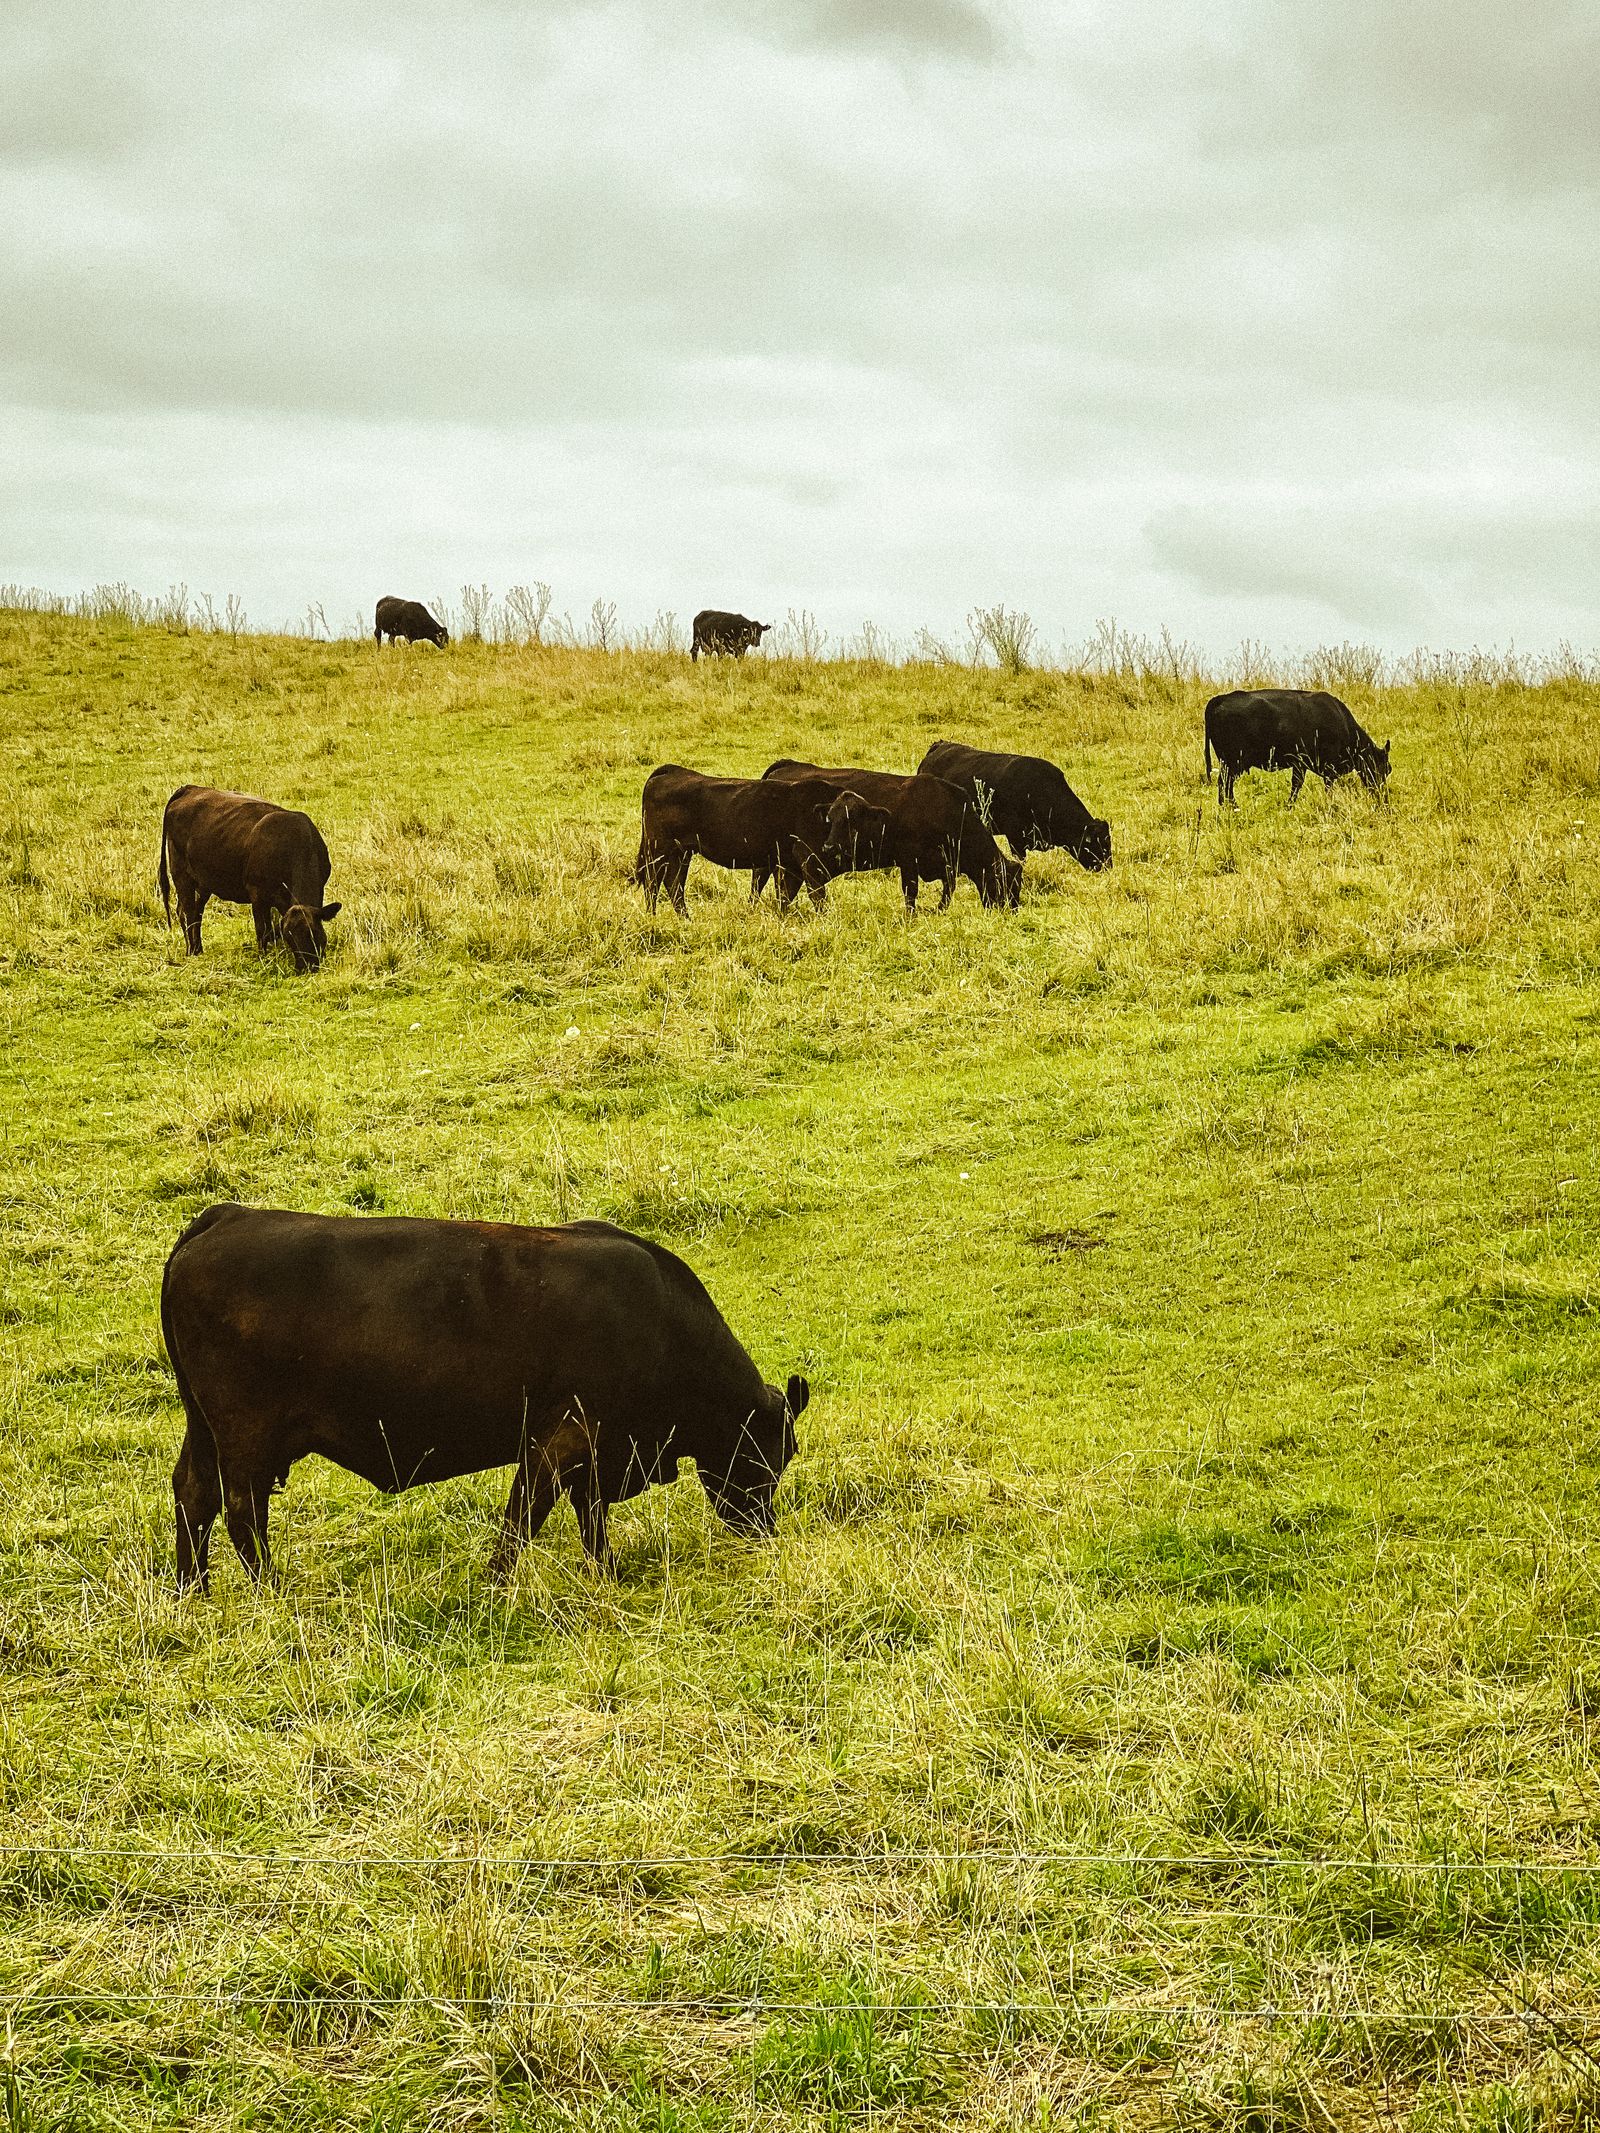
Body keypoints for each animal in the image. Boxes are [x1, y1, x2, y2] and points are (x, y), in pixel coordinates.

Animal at [158, 786, 340, 973]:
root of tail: (190, 788)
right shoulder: (257, 894)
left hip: (203, 882)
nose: (307, 967)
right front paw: (264, 959)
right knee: (185, 912)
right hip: (181, 873)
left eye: (315, 933)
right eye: (290, 938)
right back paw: (191, 951)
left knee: (196, 913)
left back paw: (198, 950)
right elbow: (263, 930)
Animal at [163, 1205, 809, 1593]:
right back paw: (273, 1590)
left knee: (194, 1495)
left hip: (205, 1428)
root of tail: (229, 1215)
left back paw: (192, 1591)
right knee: (242, 1512)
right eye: (772, 1453)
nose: (764, 1528)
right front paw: (496, 1585)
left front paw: (606, 1575)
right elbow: (525, 1517)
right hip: (246, 1436)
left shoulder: (590, 1455)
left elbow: (587, 1520)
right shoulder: (564, 1437)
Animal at [634, 764, 854, 914]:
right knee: (653, 883)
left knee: (674, 884)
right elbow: (816, 897)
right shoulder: (809, 862)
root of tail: (671, 771)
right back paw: (652, 917)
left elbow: (786, 896)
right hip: (658, 850)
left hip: (681, 852)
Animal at [763, 761, 1022, 913]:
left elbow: (948, 889)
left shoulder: (944, 864)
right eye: (1009, 884)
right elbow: (911, 893)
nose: (1013, 911)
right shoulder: (909, 860)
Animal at [1204, 690, 1391, 808]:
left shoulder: (1300, 764)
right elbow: (1320, 786)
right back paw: (1232, 806)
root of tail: (1220, 698)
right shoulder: (1324, 766)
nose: (1383, 796)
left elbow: (1297, 784)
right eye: (1383, 768)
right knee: (1225, 783)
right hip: (1233, 762)